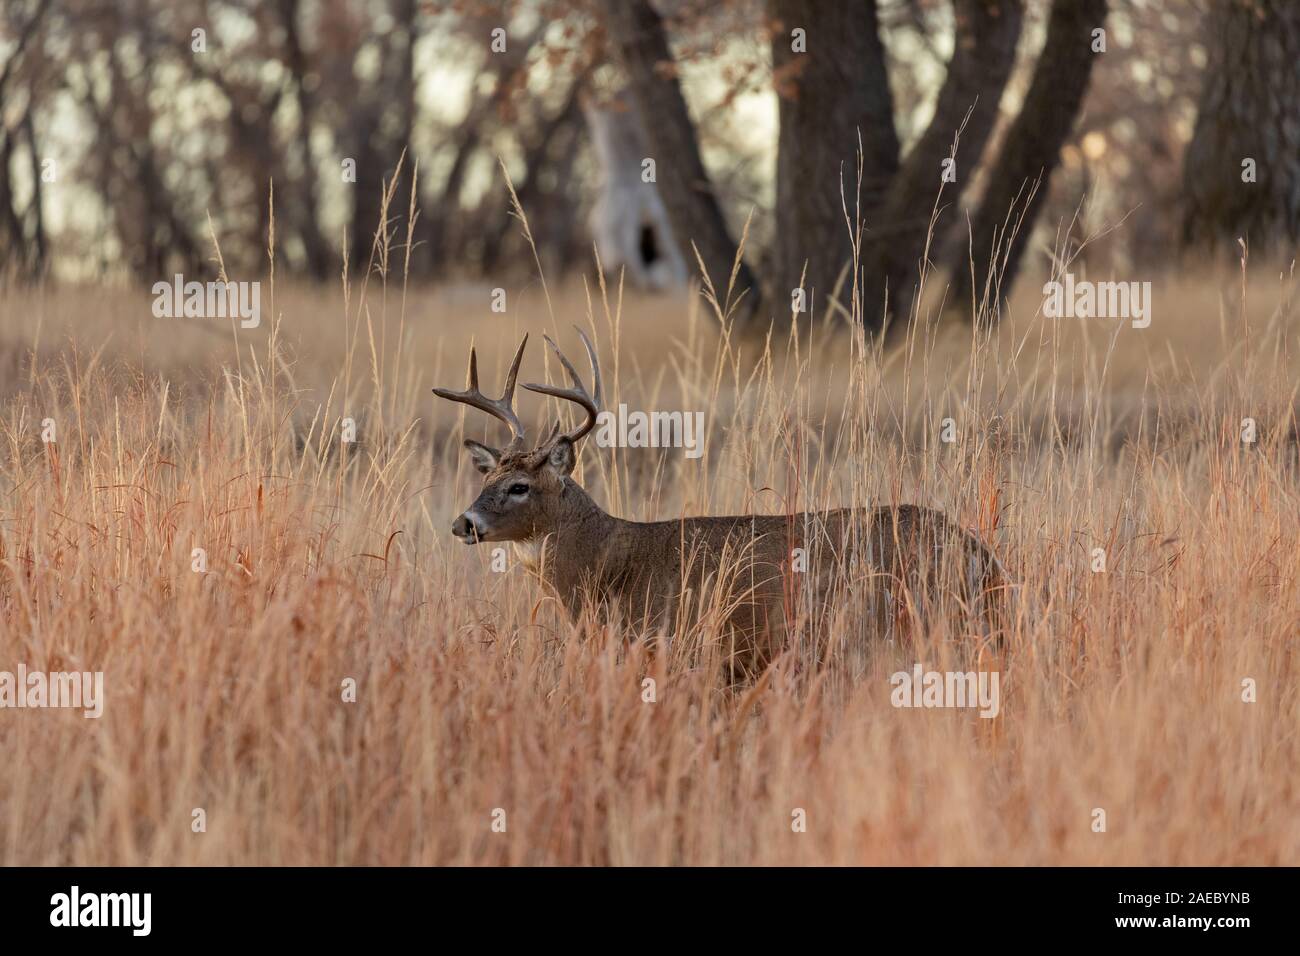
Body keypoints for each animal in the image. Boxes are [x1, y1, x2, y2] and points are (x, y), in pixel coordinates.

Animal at [435, 329, 1012, 676]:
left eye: (520, 487)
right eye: (490, 476)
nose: (463, 523)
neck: (610, 563)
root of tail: (983, 555)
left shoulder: (679, 644)